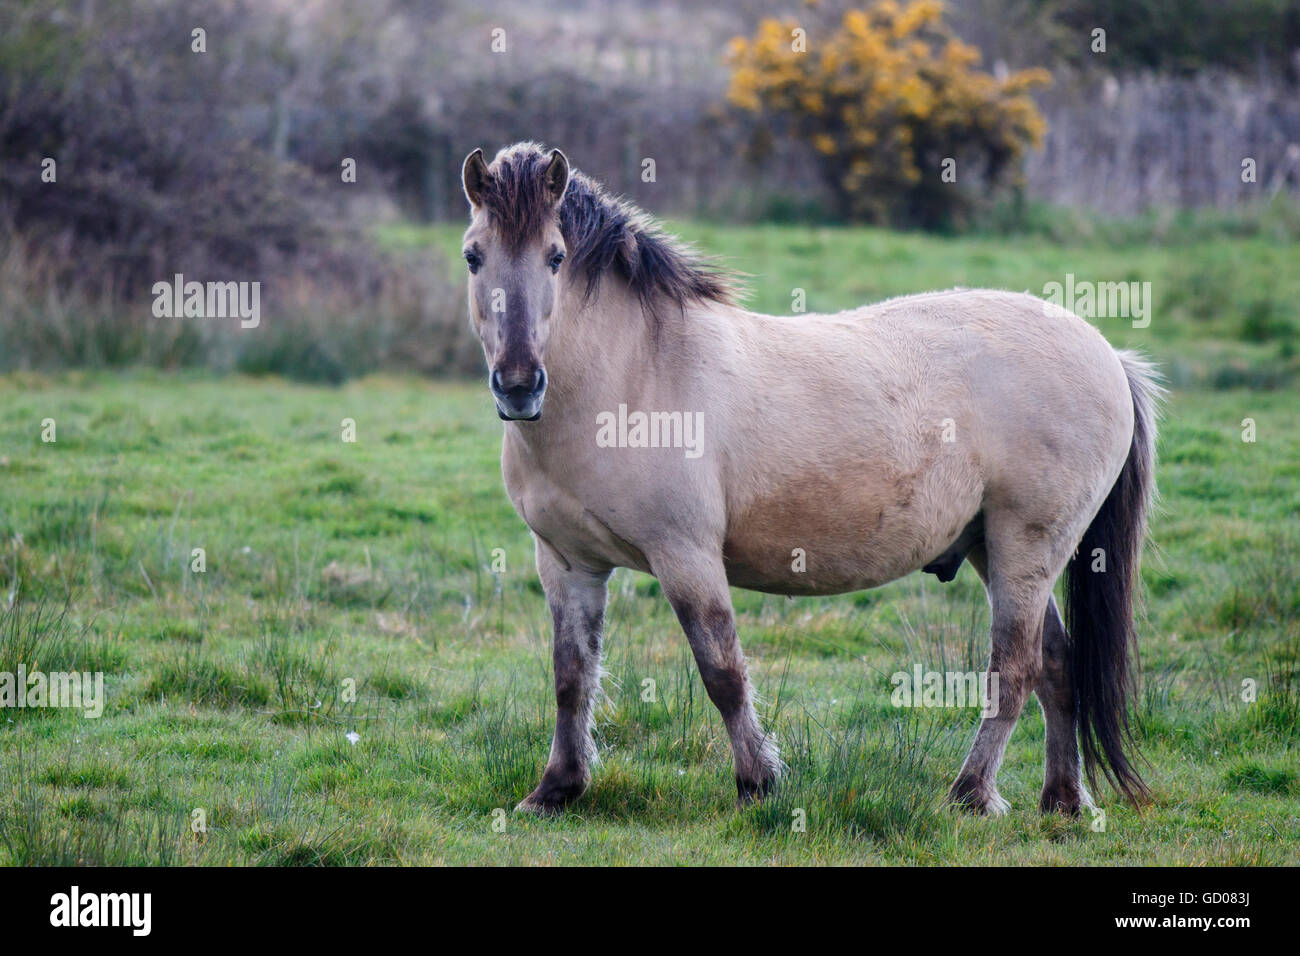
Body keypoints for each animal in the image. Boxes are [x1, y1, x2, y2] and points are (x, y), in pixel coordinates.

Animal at [459, 142, 1161, 817]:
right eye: (473, 257)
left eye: (555, 257)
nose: (519, 386)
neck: (633, 375)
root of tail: (1106, 353)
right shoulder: (567, 562)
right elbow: (571, 677)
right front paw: (556, 789)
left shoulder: (685, 554)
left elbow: (722, 672)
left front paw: (757, 782)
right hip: (997, 547)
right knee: (1057, 667)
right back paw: (1062, 800)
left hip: (1027, 546)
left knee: (1014, 670)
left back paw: (971, 795)